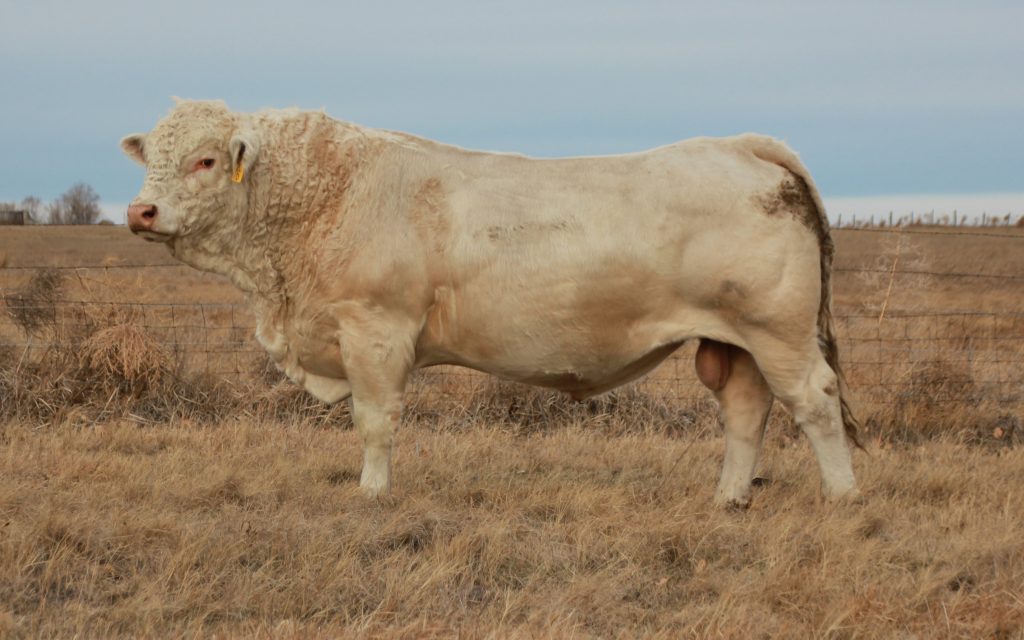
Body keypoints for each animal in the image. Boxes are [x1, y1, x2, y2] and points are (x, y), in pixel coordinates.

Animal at [121, 99, 860, 507]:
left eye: (206, 160)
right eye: (148, 157)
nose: (140, 211)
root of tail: (740, 145)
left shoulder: (374, 329)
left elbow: (375, 421)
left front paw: (372, 492)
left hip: (779, 331)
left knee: (815, 403)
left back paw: (843, 496)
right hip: (736, 341)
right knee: (746, 413)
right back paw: (729, 498)